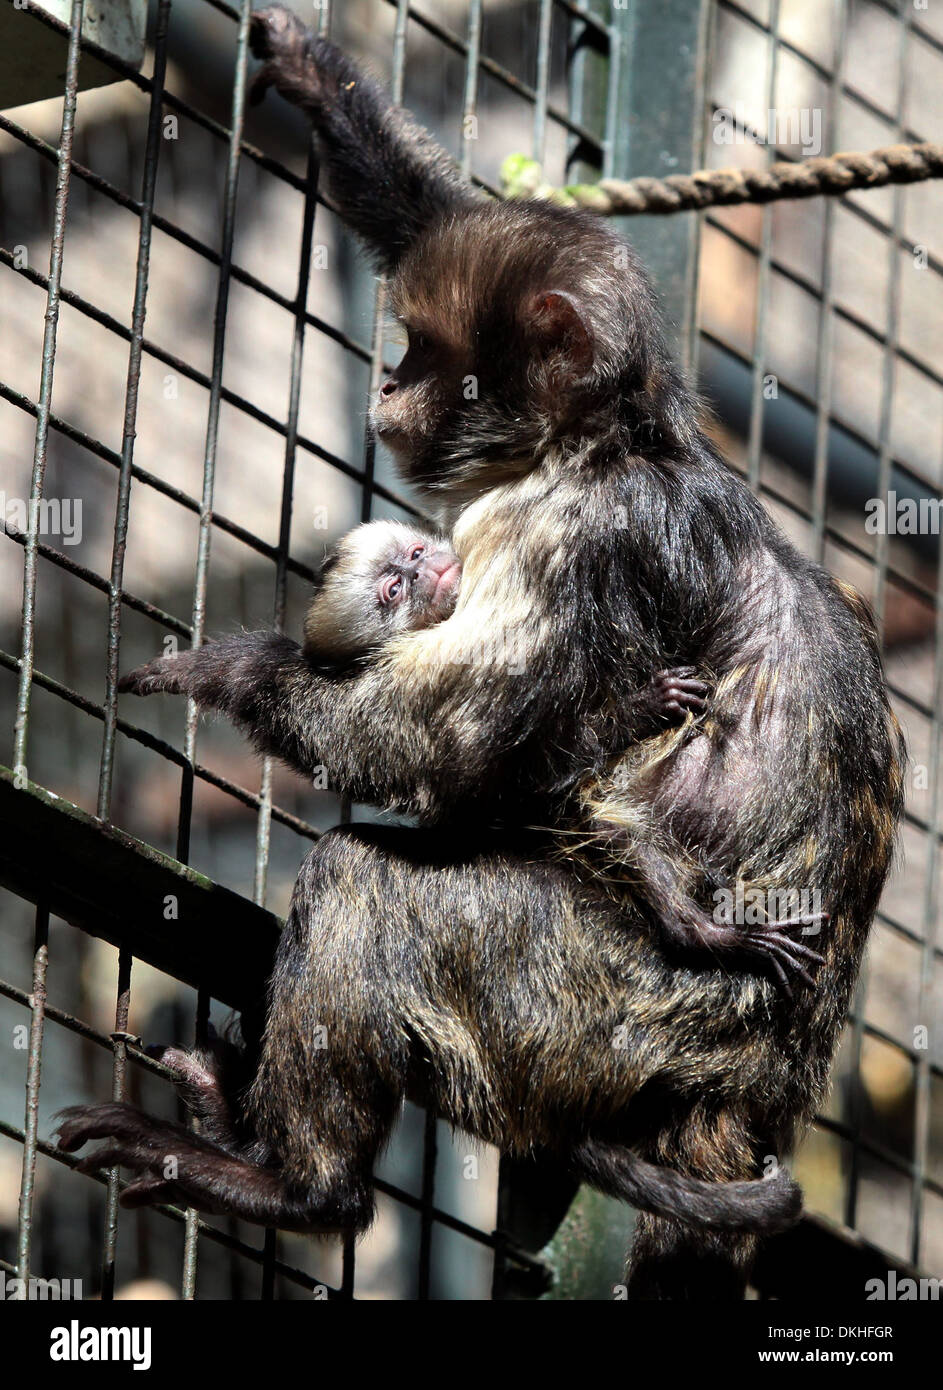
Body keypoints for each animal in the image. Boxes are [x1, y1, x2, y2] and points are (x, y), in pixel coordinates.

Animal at [57, 6, 906, 1300]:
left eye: (423, 356)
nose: (387, 381)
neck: (600, 447)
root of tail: (753, 1089)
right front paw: (311, 75)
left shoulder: (579, 533)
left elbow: (449, 745)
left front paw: (234, 670)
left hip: (610, 1006)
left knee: (369, 882)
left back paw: (299, 1186)